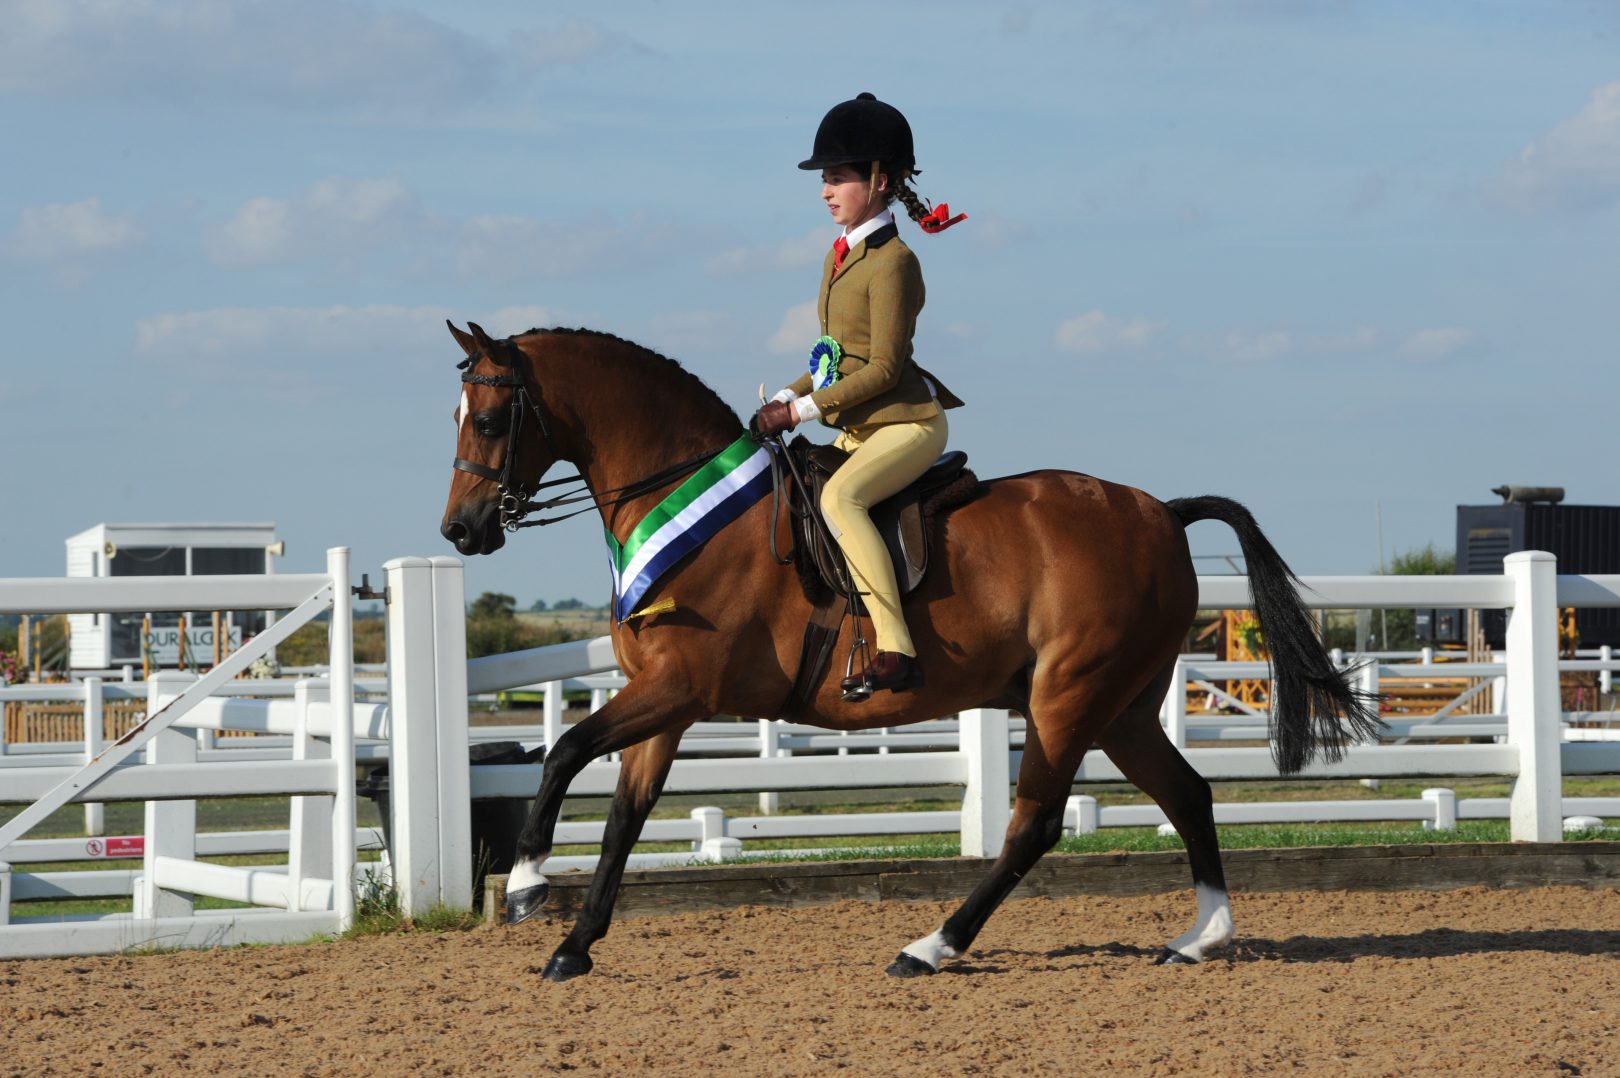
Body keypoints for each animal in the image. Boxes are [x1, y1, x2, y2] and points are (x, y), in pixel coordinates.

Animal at [439, 320, 1380, 982]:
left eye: (488, 418)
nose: (461, 531)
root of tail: (1162, 513)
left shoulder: (682, 688)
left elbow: (561, 752)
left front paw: (524, 887)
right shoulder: (662, 702)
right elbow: (623, 819)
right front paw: (574, 946)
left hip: (1068, 695)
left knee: (1035, 824)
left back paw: (932, 946)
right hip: (1122, 706)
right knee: (1187, 793)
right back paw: (1200, 937)